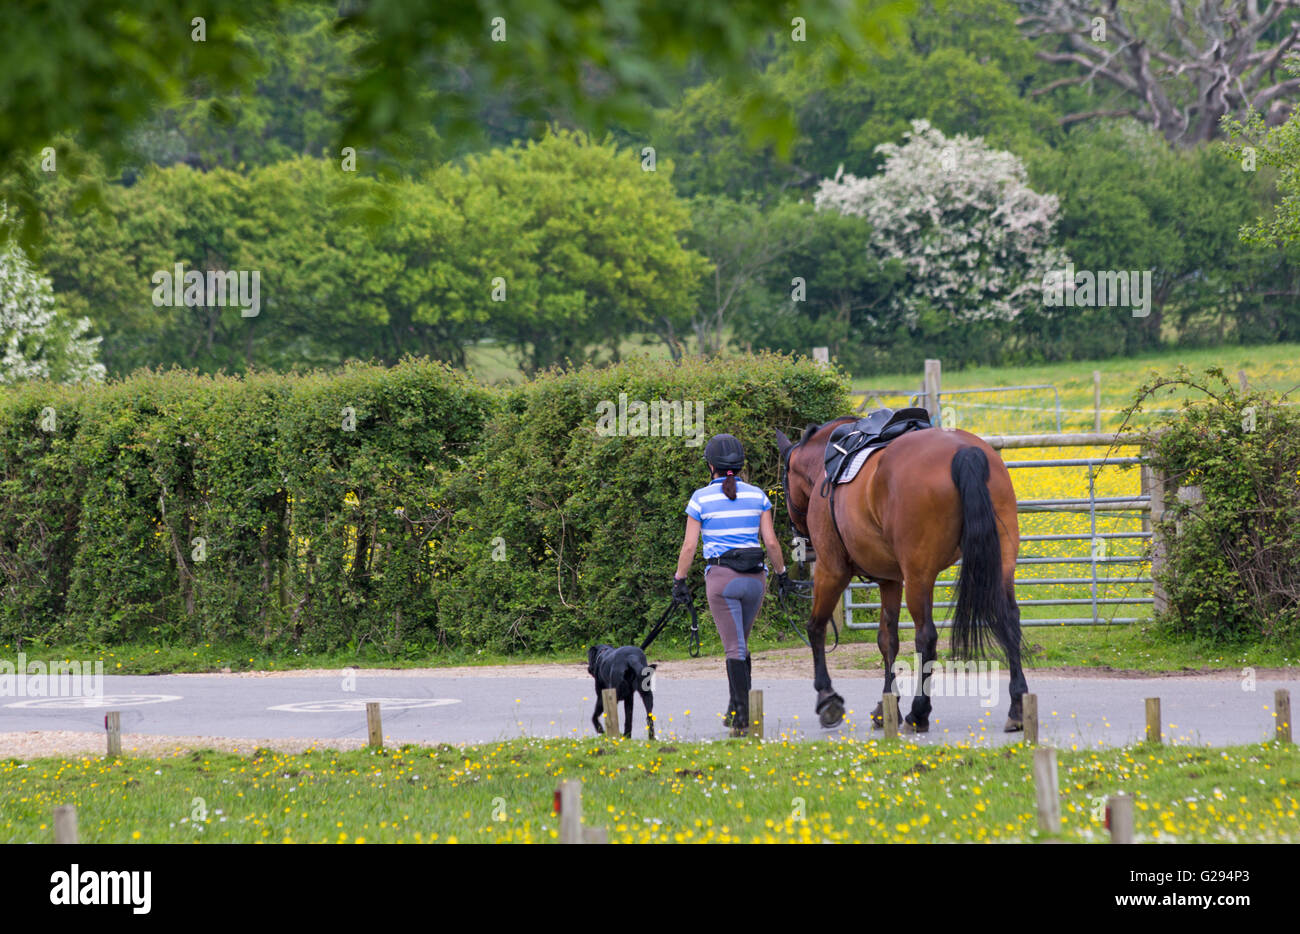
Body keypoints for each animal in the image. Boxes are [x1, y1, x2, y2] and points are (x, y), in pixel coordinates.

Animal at [776, 417, 1028, 733]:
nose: (801, 540)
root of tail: (965, 451)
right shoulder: (890, 580)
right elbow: (888, 640)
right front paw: (886, 706)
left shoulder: (832, 569)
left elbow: (816, 628)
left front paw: (827, 697)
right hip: (1000, 562)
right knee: (1009, 618)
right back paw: (1017, 705)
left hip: (918, 576)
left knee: (926, 637)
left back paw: (919, 713)